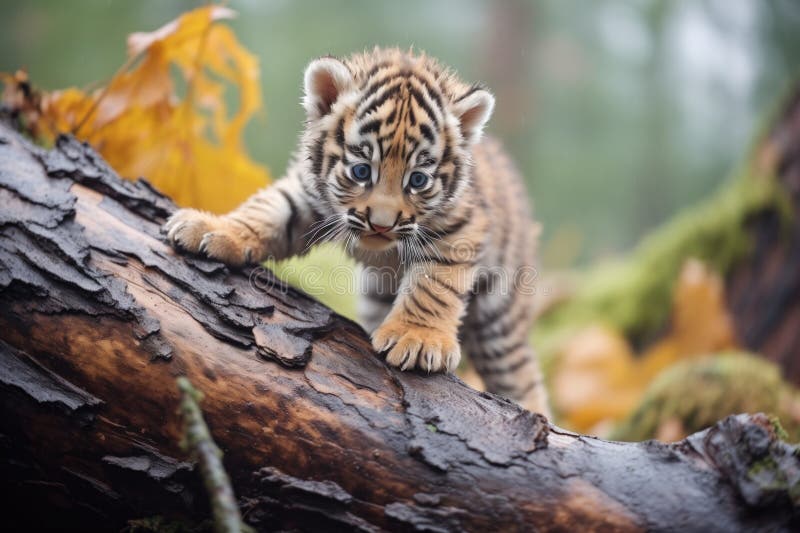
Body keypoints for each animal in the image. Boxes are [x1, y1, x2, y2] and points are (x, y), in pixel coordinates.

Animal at [163, 47, 550, 416]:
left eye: (417, 180)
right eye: (362, 171)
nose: (381, 223)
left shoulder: (460, 227)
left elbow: (433, 285)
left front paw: (417, 337)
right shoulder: (305, 194)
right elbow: (265, 210)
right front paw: (210, 228)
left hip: (500, 316)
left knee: (522, 379)